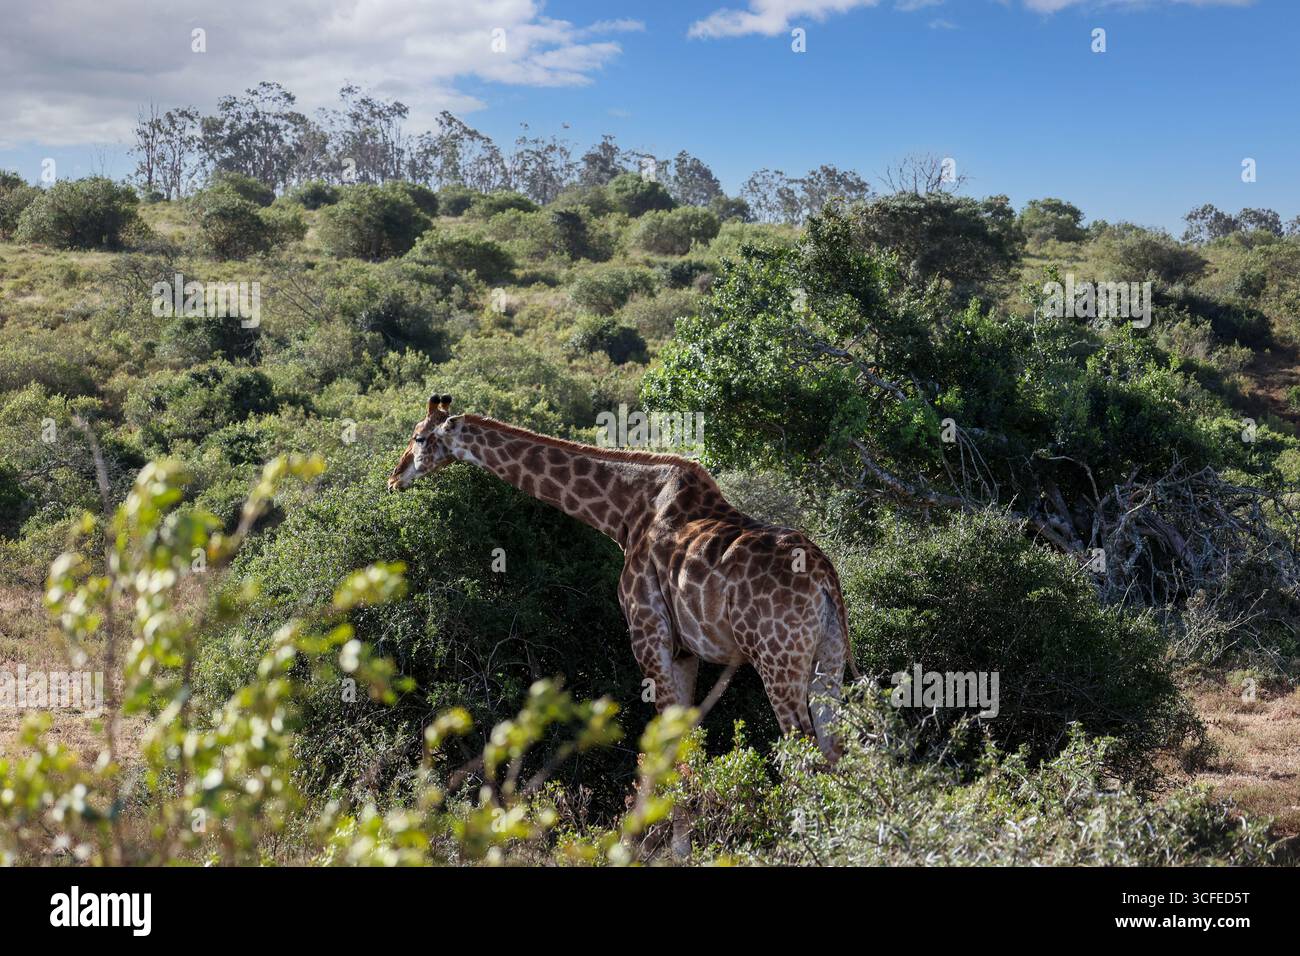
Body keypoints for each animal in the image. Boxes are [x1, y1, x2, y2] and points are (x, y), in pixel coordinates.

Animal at [388, 394, 855, 760]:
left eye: (419, 437)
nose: (394, 477)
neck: (623, 515)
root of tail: (824, 579)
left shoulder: (649, 637)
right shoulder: (685, 651)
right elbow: (688, 742)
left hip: (777, 658)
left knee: (805, 747)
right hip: (829, 659)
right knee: (833, 747)